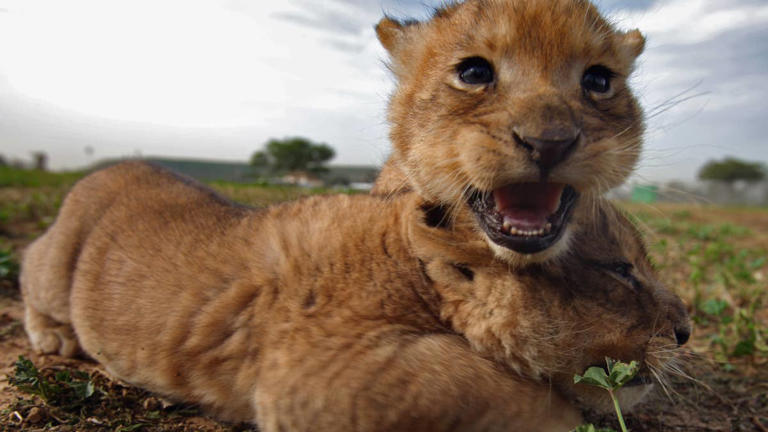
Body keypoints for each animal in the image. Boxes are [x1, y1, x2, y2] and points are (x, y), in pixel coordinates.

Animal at [21, 162, 690, 431]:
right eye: (620, 270)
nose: (686, 332)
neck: (414, 273)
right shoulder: (314, 376)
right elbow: (475, 382)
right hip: (54, 263)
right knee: (29, 266)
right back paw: (53, 335)